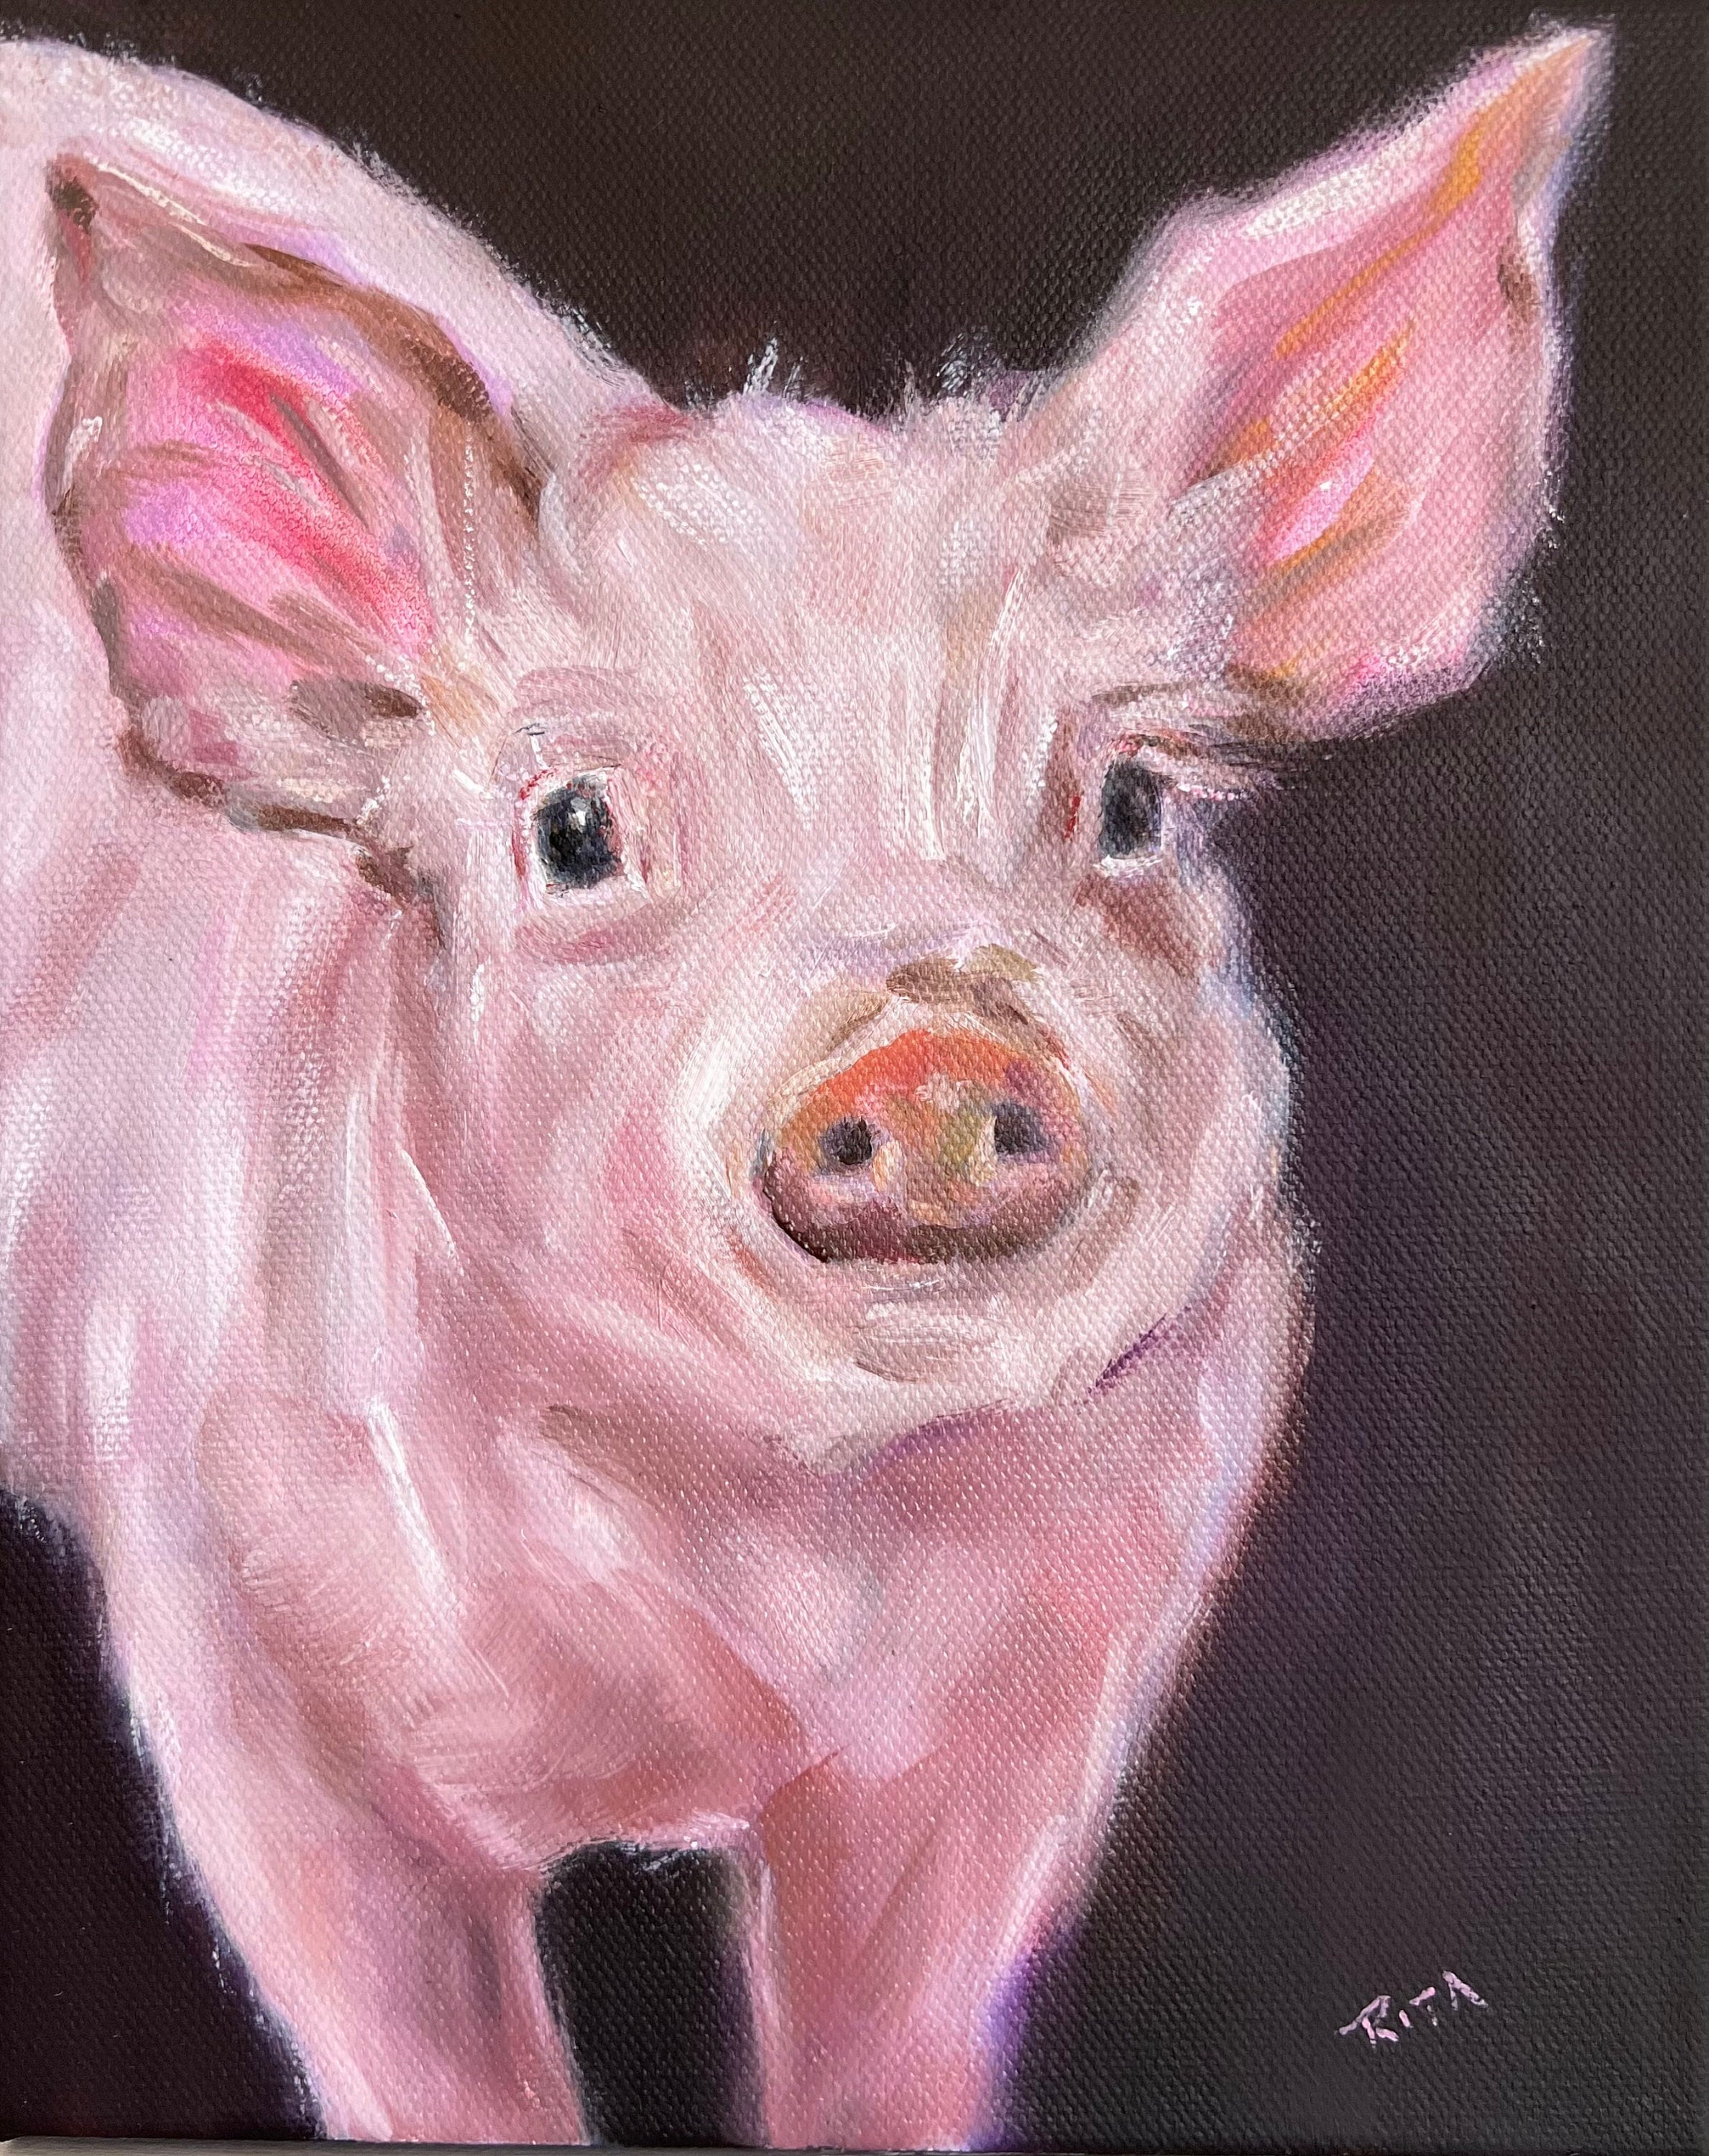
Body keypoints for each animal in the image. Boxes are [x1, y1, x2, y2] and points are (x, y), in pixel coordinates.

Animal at [0, 25, 1603, 2148]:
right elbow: (432, 2062)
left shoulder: (1021, 1731)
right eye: (572, 829)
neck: (770, 1580)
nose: (930, 1039)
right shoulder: (237, 1667)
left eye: (1130, 802)